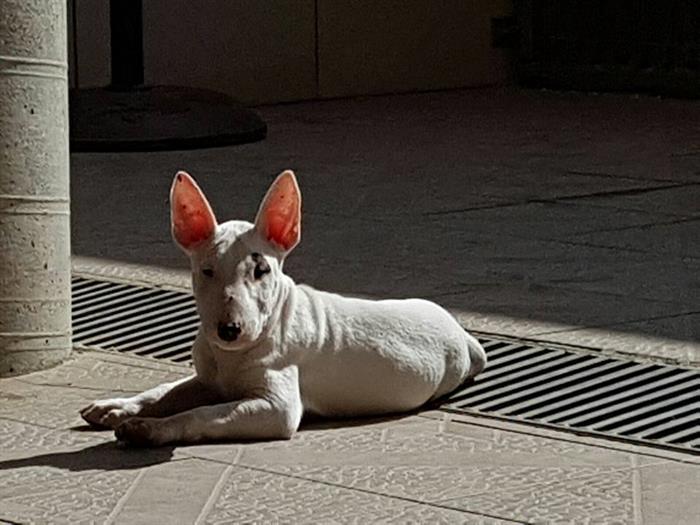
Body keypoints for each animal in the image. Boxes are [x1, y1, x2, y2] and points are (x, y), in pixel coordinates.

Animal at [80, 170, 486, 444]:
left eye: (261, 270)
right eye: (206, 271)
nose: (229, 330)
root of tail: (462, 333)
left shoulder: (276, 407)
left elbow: (202, 414)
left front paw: (149, 429)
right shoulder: (207, 377)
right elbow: (166, 390)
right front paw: (116, 407)